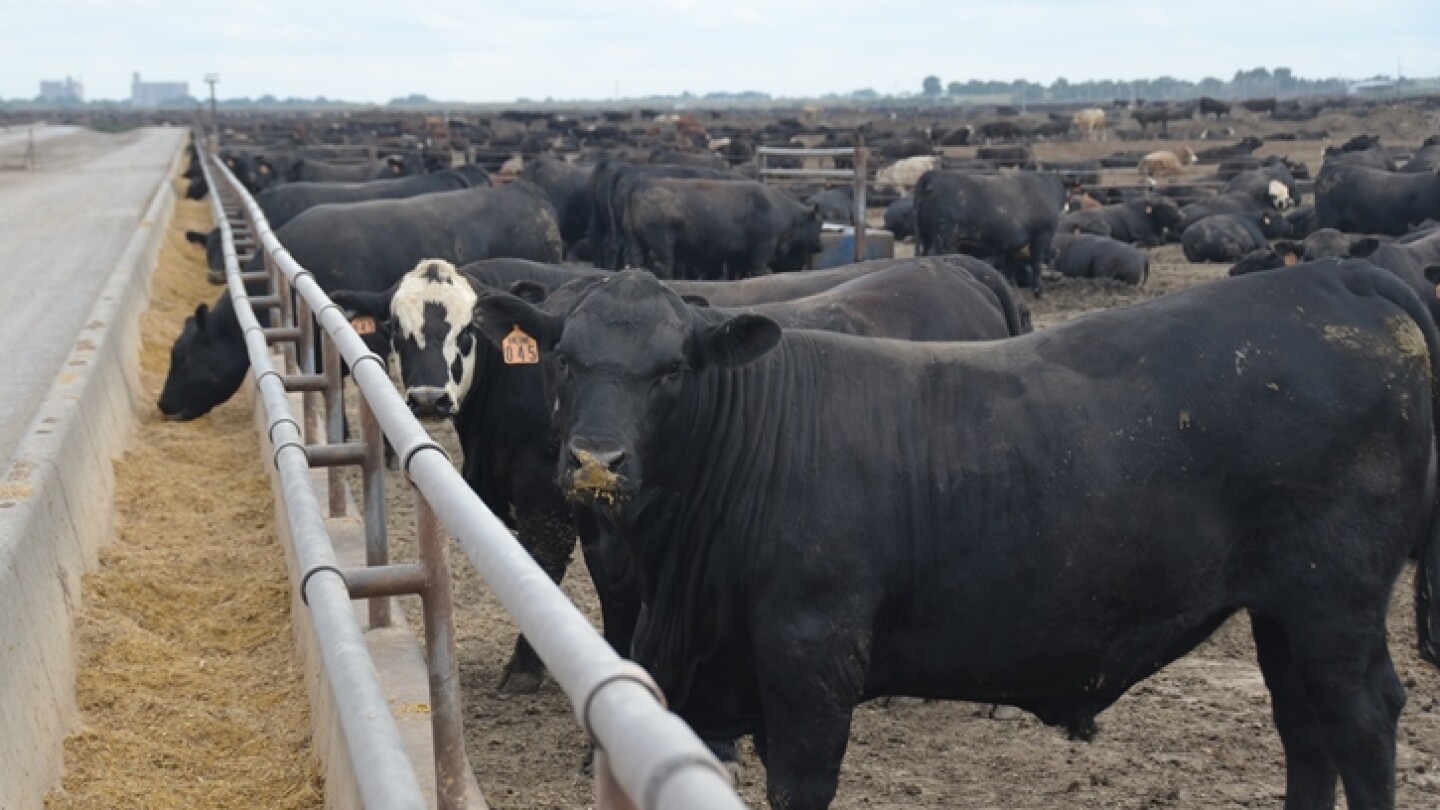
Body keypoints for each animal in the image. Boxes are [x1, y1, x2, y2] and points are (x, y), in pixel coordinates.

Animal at [471, 263, 1440, 810]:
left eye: (673, 369)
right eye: (565, 360)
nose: (596, 460)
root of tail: (1337, 280)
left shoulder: (809, 656)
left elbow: (802, 782)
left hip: (1335, 599)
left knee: (1361, 719)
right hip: (1283, 608)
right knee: (1304, 726)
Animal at [622, 178, 824, 280]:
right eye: (819, 224)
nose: (821, 246)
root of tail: (640, 186)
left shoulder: (739, 256)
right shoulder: (762, 250)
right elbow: (758, 269)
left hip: (636, 244)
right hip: (661, 245)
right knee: (663, 266)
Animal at [912, 170, 1067, 295]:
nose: (1057, 251)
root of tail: (935, 173)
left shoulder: (1013, 244)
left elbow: (1010, 267)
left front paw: (1012, 288)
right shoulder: (1042, 235)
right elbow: (1036, 263)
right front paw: (1038, 291)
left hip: (926, 236)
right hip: (943, 238)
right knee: (933, 255)